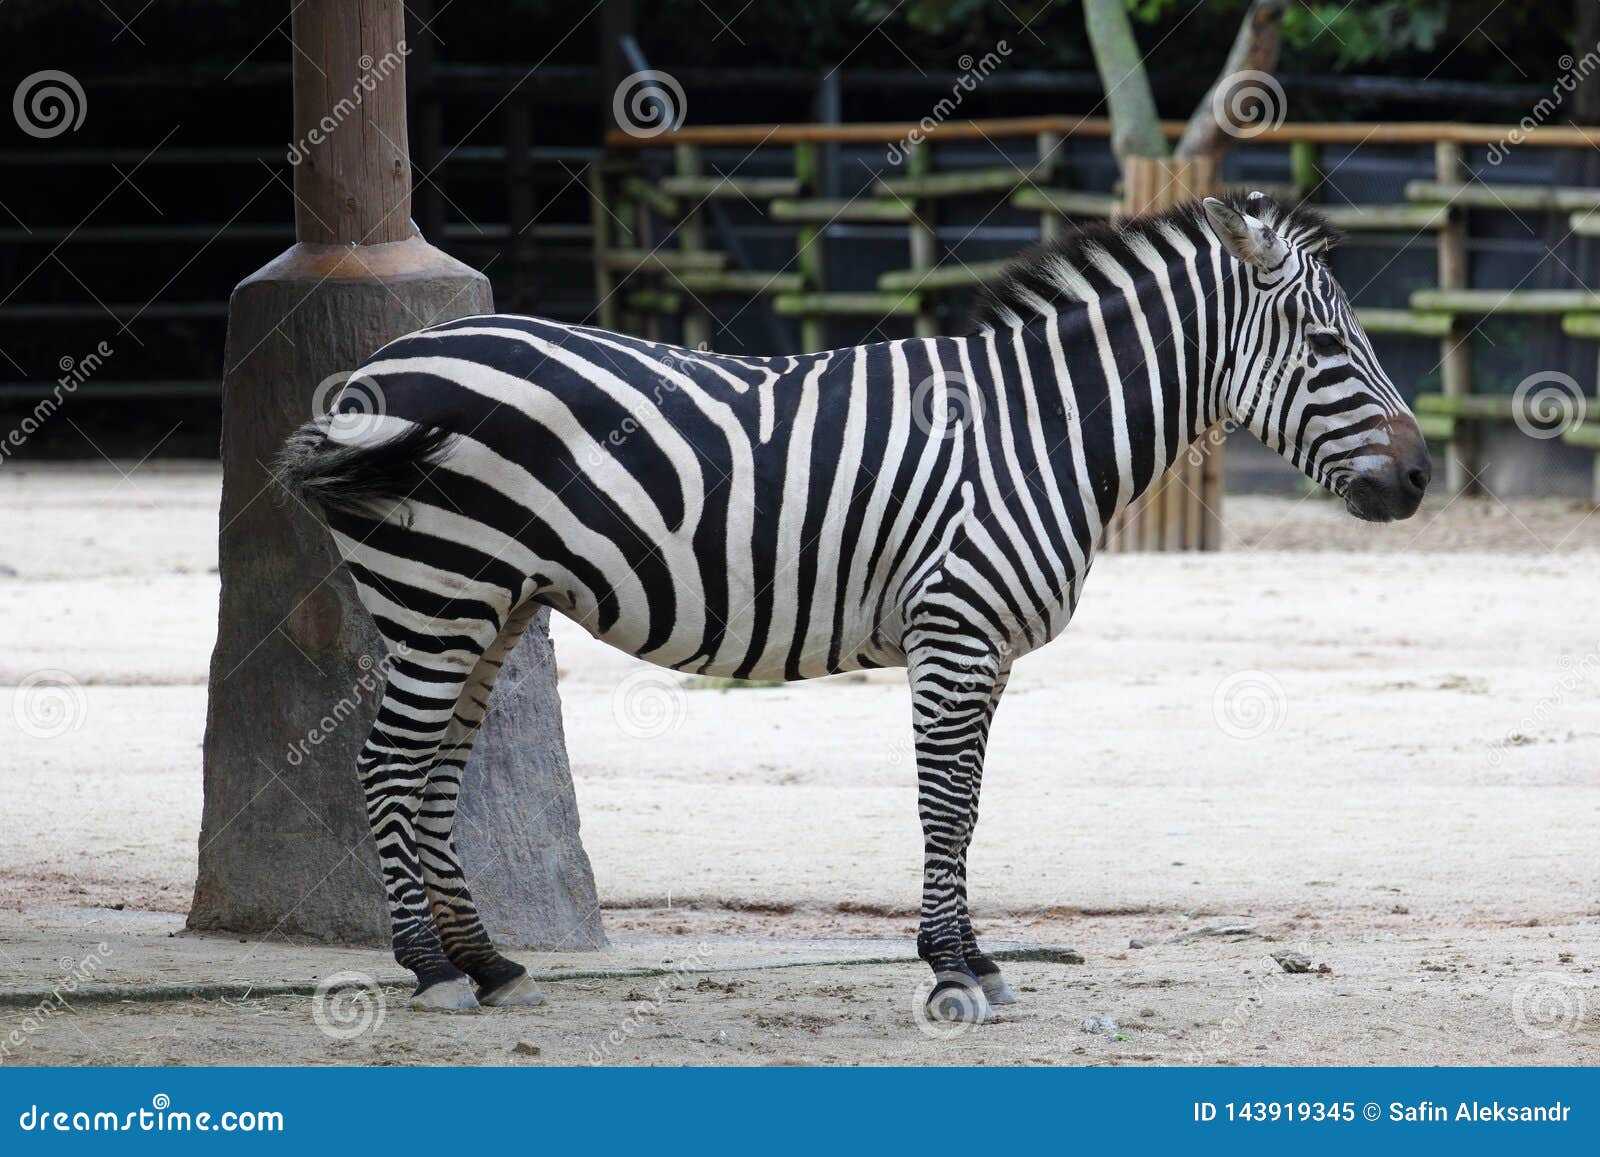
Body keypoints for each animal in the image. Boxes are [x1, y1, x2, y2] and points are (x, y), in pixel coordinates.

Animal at [276, 192, 1430, 1023]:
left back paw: (487, 960)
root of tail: (378, 367)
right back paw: (430, 969)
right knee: (387, 763)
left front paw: (972, 958)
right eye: (1326, 346)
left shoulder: (984, 646)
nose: (1418, 481)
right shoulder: (956, 628)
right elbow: (946, 802)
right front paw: (953, 972)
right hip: (441, 594)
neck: (1034, 429)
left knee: (434, 775)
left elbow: (969, 802)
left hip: (490, 605)